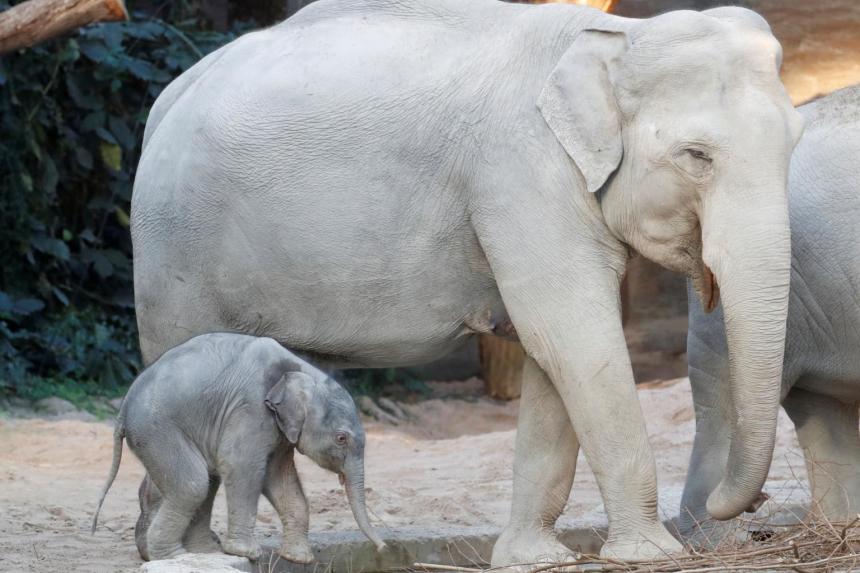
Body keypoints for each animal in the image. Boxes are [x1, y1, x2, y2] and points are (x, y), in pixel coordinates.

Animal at [91, 333, 386, 561]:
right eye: (341, 438)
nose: (382, 547)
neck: (299, 369)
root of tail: (123, 409)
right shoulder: (251, 409)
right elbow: (242, 466)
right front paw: (248, 553)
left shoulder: (279, 429)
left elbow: (278, 477)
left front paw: (299, 558)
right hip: (157, 430)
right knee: (193, 484)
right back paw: (175, 557)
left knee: (206, 481)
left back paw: (203, 552)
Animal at [131, 0, 803, 562]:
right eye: (697, 156)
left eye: (793, 144)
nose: (747, 508)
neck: (618, 34)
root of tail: (167, 100)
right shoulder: (520, 172)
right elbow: (572, 335)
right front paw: (651, 555)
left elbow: (552, 355)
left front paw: (534, 560)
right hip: (174, 249)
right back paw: (194, 554)